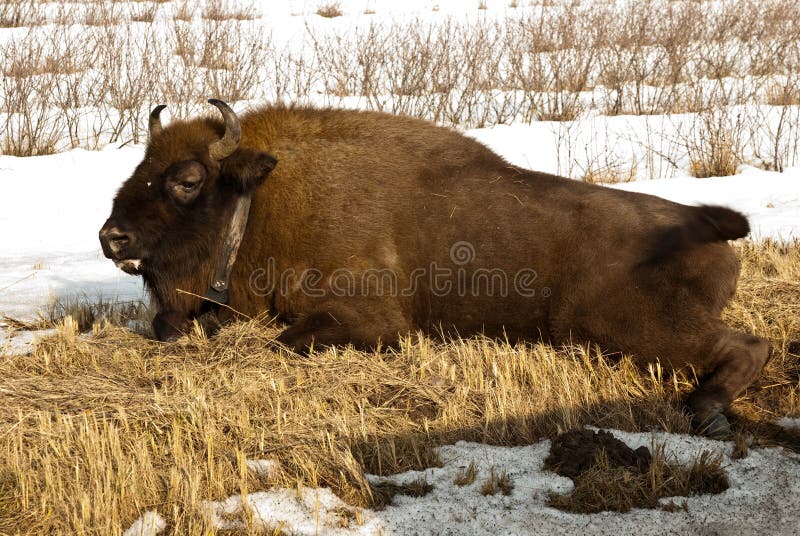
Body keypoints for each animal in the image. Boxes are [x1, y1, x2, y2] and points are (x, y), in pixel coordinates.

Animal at [100, 99, 770, 437]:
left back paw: (704, 409)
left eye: (188, 180)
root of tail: (706, 228)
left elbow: (285, 341)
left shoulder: (370, 318)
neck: (260, 198)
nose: (111, 237)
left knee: (748, 346)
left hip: (615, 325)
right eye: (140, 168)